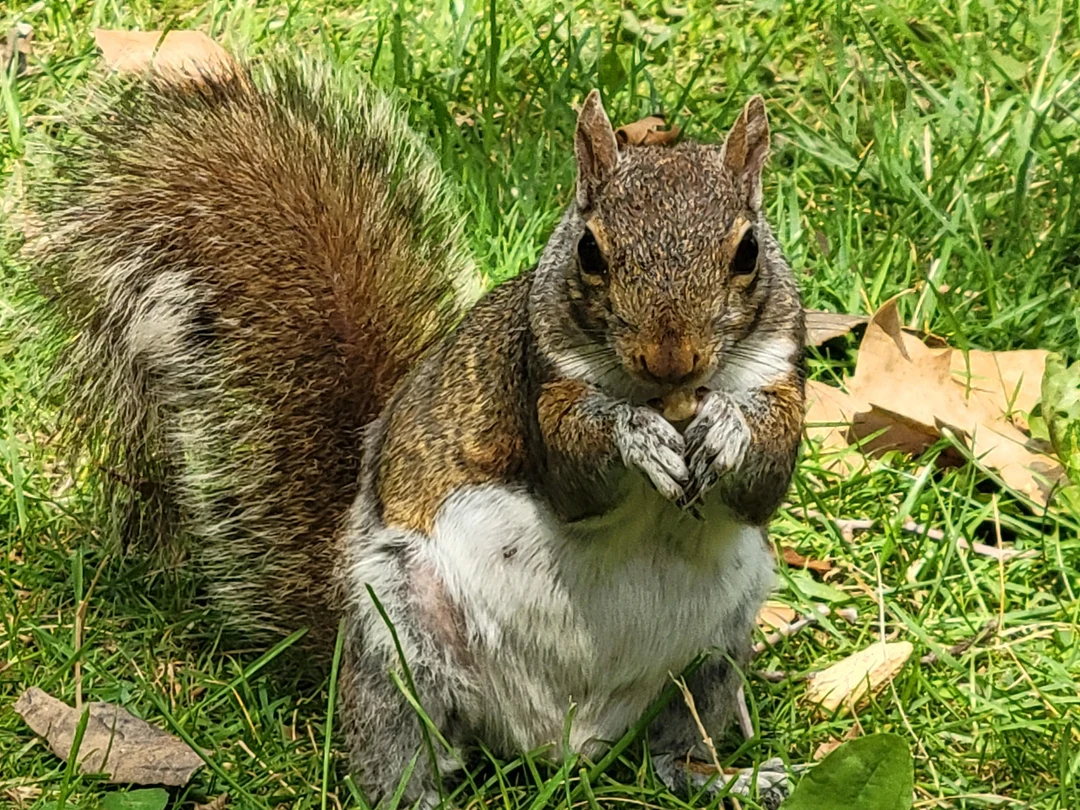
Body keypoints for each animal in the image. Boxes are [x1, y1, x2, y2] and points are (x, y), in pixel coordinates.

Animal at [22, 53, 805, 808]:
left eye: (748, 253)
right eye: (590, 251)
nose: (672, 358)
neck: (666, 396)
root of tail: (561, 746)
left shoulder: (782, 371)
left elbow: (765, 483)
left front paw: (730, 427)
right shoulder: (531, 382)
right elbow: (577, 473)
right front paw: (634, 434)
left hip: (715, 653)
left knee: (671, 757)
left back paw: (729, 779)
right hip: (400, 626)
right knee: (397, 743)